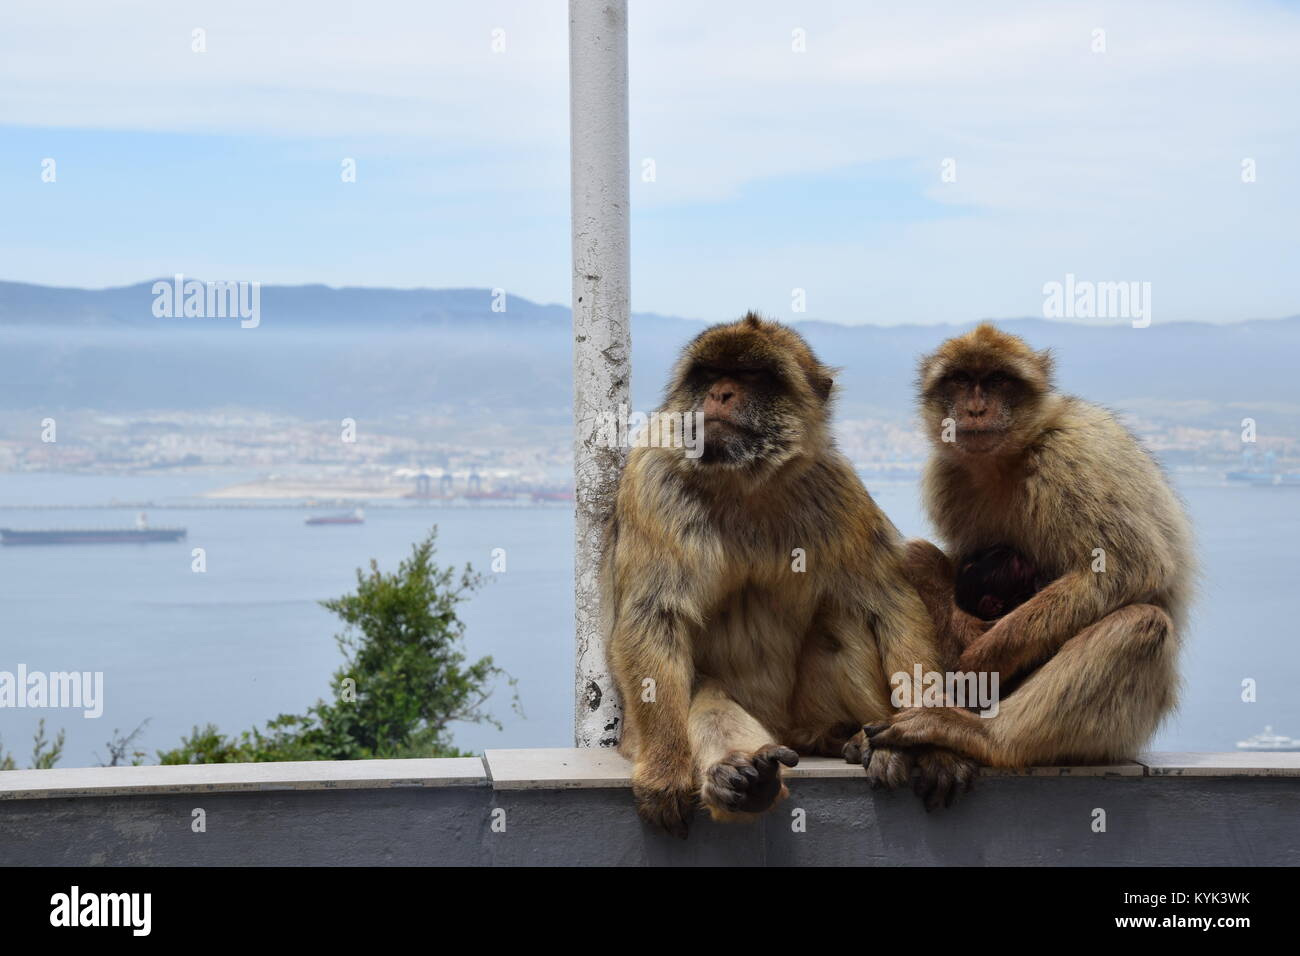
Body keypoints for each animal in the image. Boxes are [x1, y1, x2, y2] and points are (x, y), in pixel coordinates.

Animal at [604, 313, 976, 836]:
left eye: (754, 377)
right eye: (710, 372)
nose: (720, 392)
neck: (743, 481)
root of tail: (788, 733)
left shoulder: (836, 486)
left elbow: (890, 603)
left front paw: (934, 742)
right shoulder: (652, 479)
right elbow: (653, 618)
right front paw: (666, 771)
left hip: (802, 715)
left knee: (843, 619)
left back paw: (859, 741)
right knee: (702, 691)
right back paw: (742, 780)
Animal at [868, 322, 1193, 767]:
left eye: (997, 381)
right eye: (960, 380)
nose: (975, 409)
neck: (1009, 458)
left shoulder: (1070, 458)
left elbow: (1127, 566)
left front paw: (980, 661)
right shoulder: (947, 476)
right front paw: (969, 627)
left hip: (1121, 731)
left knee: (1141, 624)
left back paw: (987, 736)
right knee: (915, 556)